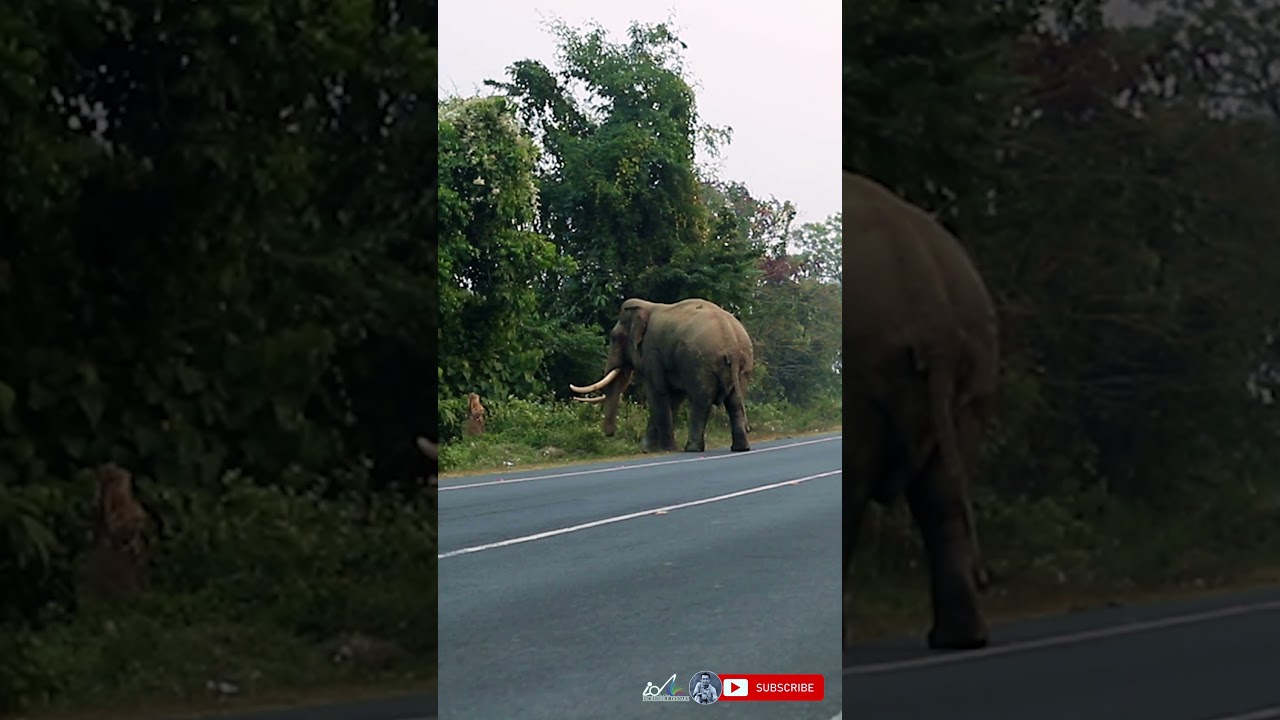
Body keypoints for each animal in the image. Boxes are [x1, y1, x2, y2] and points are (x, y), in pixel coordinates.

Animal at [570, 298, 754, 453]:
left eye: (614, 337)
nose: (610, 434)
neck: (648, 306)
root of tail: (731, 344)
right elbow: (674, 398)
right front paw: (647, 449)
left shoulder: (652, 352)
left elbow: (658, 393)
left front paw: (661, 449)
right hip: (743, 365)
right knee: (735, 402)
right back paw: (740, 448)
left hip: (700, 364)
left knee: (701, 401)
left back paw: (691, 449)